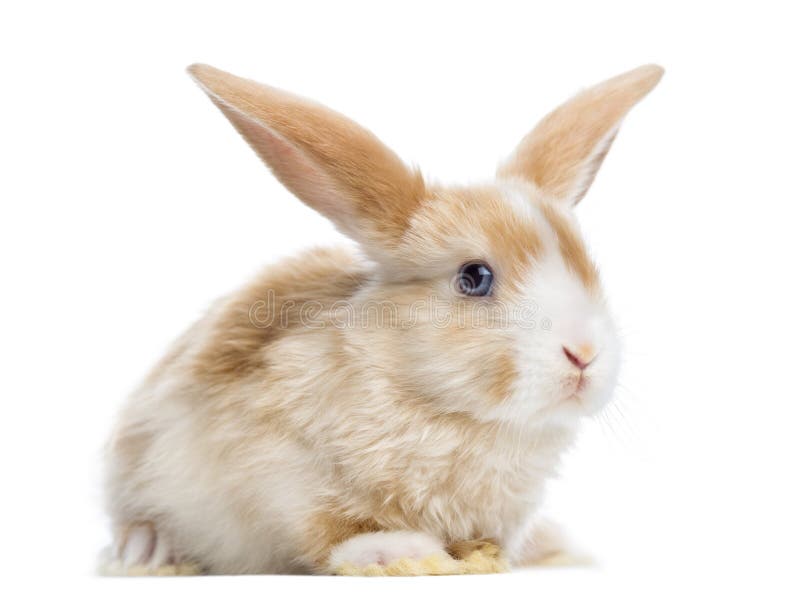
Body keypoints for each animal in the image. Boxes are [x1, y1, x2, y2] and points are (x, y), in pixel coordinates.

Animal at [103, 63, 663, 575]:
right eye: (474, 277)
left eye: (587, 266)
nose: (584, 354)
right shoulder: (277, 471)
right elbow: (328, 528)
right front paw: (401, 553)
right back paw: (146, 550)